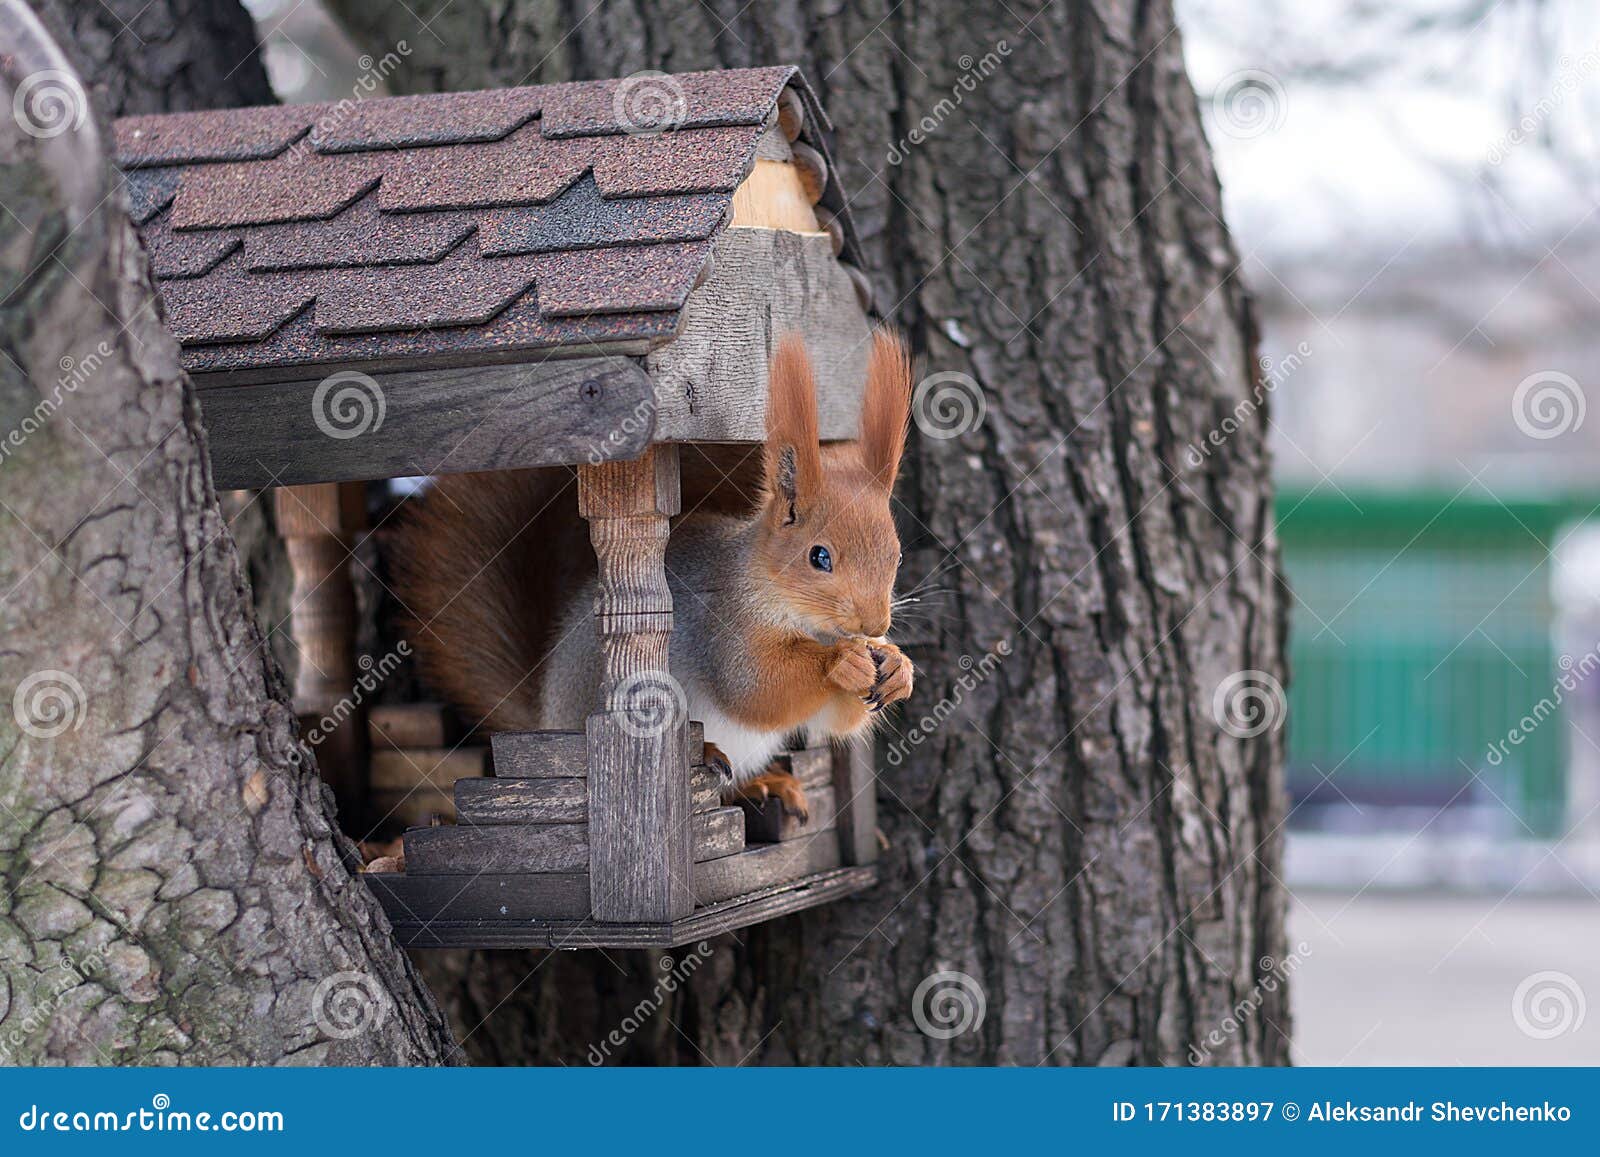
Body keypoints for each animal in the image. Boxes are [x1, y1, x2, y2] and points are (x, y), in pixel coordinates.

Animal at [390, 329, 916, 821]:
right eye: (819, 557)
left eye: (897, 556)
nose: (875, 625)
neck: (808, 622)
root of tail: (545, 718)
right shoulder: (723, 623)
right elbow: (756, 688)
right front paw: (841, 662)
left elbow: (835, 721)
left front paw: (897, 668)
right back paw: (709, 752)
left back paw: (767, 782)